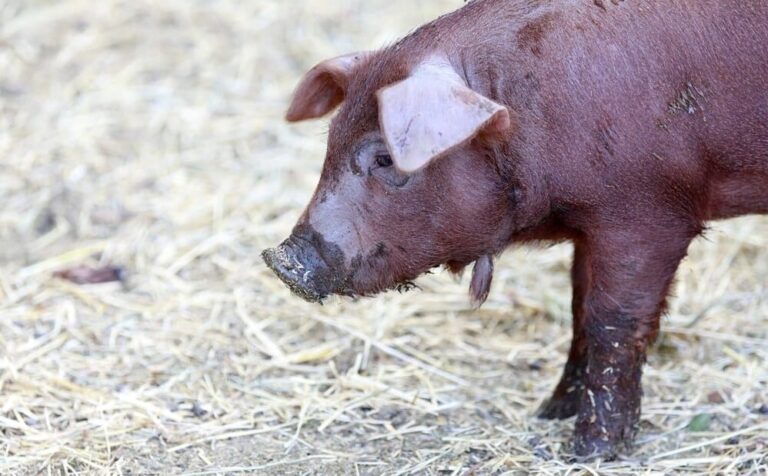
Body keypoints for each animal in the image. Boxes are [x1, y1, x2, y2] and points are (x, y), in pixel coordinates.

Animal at [262, 0, 768, 458]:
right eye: (330, 143)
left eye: (386, 158)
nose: (281, 259)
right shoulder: (592, 227)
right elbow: (579, 309)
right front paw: (549, 413)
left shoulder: (649, 215)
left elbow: (613, 322)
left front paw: (589, 451)